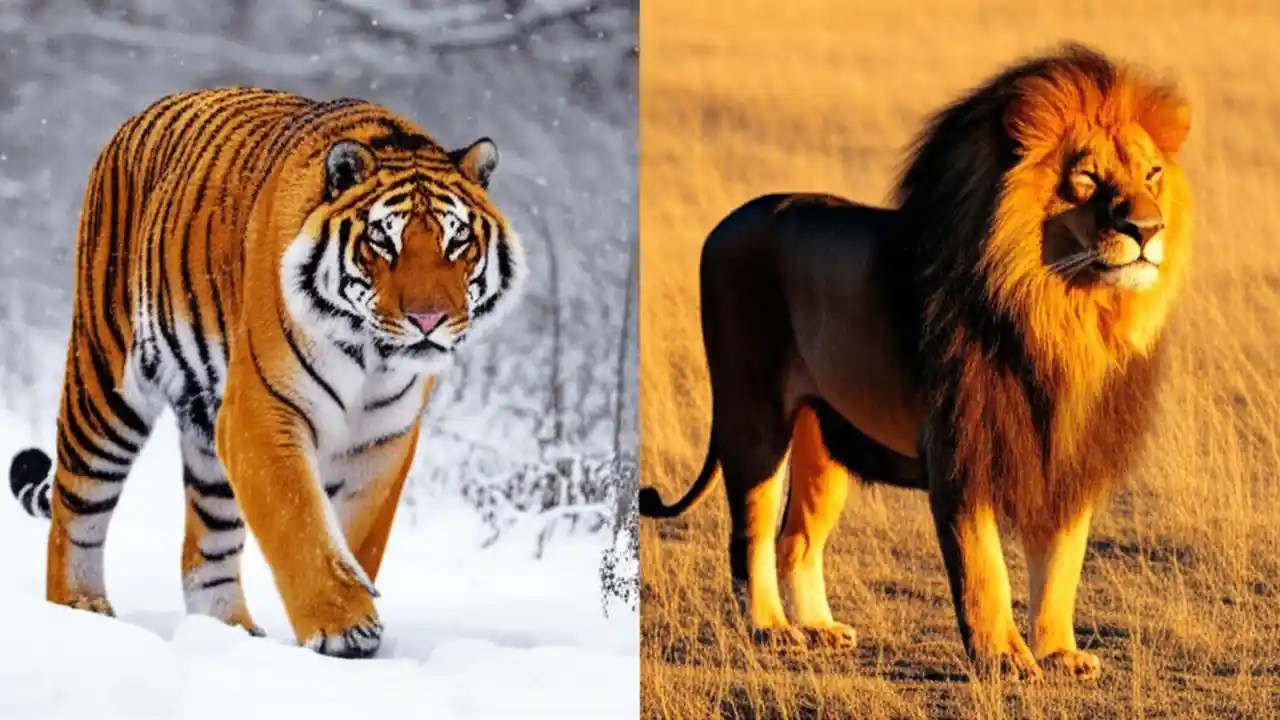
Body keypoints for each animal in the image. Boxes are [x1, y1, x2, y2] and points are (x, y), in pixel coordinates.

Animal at [5, 87, 526, 658]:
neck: (371, 355)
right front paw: (344, 626)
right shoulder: (263, 412)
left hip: (208, 434)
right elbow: (299, 523)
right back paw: (83, 610)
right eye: (382, 241)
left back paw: (230, 634)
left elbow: (356, 534)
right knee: (74, 511)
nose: (428, 320)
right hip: (105, 385)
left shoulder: (383, 437)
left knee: (204, 549)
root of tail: (138, 116)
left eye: (457, 242)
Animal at [640, 43, 1192, 681]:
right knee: (749, 534)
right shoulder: (959, 451)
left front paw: (1057, 653)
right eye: (1086, 176)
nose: (1147, 228)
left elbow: (1062, 565)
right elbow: (984, 569)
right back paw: (773, 630)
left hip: (821, 440)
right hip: (753, 416)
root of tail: (725, 225)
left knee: (795, 538)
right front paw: (1005, 657)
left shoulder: (1068, 455)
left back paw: (820, 627)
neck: (1064, 315)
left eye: (1151, 175)